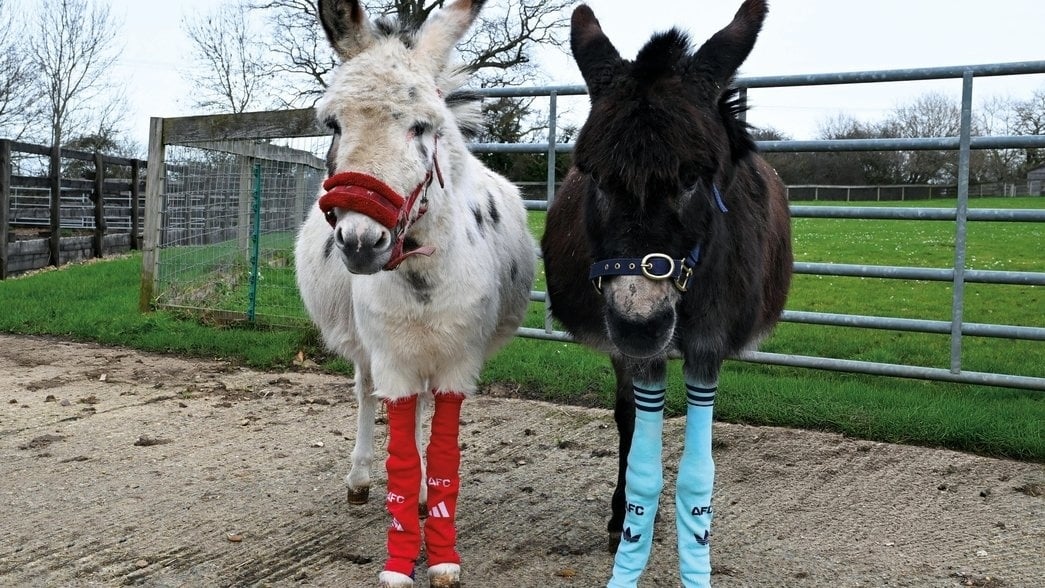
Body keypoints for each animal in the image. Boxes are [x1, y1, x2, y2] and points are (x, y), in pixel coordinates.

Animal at [294, 1, 536, 586]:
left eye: (423, 126)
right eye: (333, 124)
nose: (360, 242)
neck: (421, 278)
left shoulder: (457, 362)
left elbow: (443, 450)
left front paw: (442, 553)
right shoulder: (392, 360)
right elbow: (400, 449)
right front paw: (399, 561)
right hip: (367, 348)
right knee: (364, 395)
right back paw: (360, 480)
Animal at [540, 1, 792, 586]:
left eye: (694, 179)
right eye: (593, 177)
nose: (641, 324)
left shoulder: (706, 347)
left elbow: (698, 470)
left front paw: (696, 544)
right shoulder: (635, 350)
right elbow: (640, 451)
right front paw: (629, 527)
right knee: (629, 418)